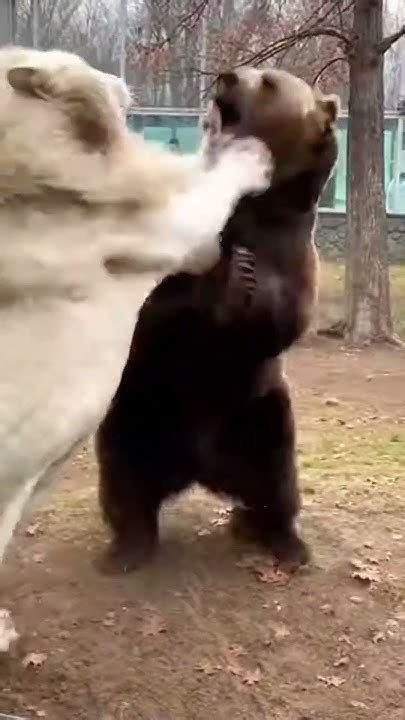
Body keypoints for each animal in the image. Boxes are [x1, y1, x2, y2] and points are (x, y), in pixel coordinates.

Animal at [95, 67, 340, 574]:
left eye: (269, 81)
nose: (226, 77)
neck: (251, 205)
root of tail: (200, 466)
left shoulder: (292, 249)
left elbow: (285, 316)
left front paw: (250, 283)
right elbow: (158, 302)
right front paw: (232, 277)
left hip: (259, 413)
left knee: (277, 481)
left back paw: (286, 544)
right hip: (141, 407)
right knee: (123, 473)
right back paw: (126, 549)